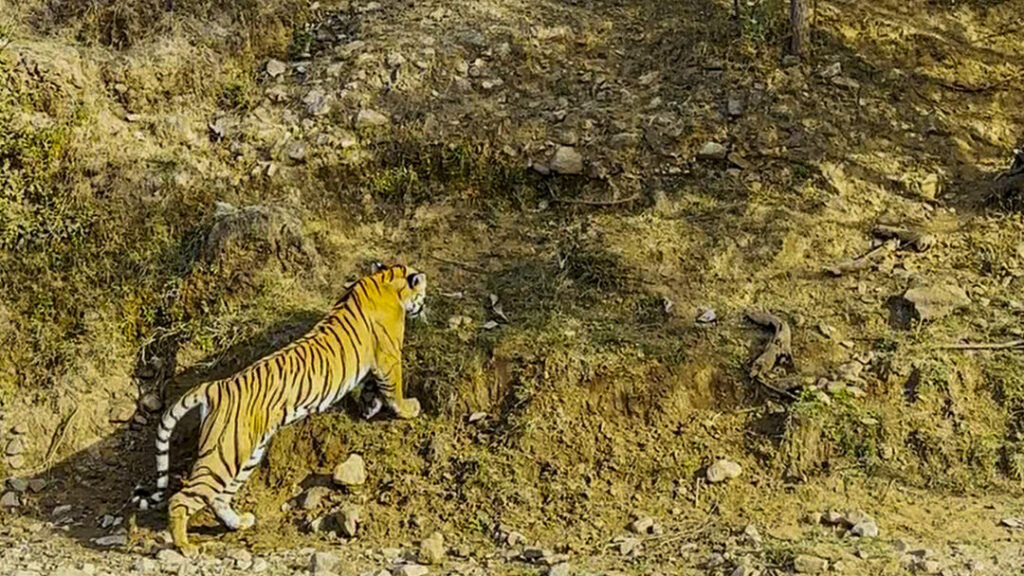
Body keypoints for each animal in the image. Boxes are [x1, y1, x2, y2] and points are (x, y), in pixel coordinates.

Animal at [133, 262, 426, 556]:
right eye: (422, 292)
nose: (424, 306)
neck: (384, 280)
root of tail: (216, 386)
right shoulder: (389, 357)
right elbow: (394, 388)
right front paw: (408, 409)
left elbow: (372, 388)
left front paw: (370, 407)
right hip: (222, 456)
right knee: (182, 498)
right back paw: (185, 546)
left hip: (245, 454)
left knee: (218, 498)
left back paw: (239, 523)